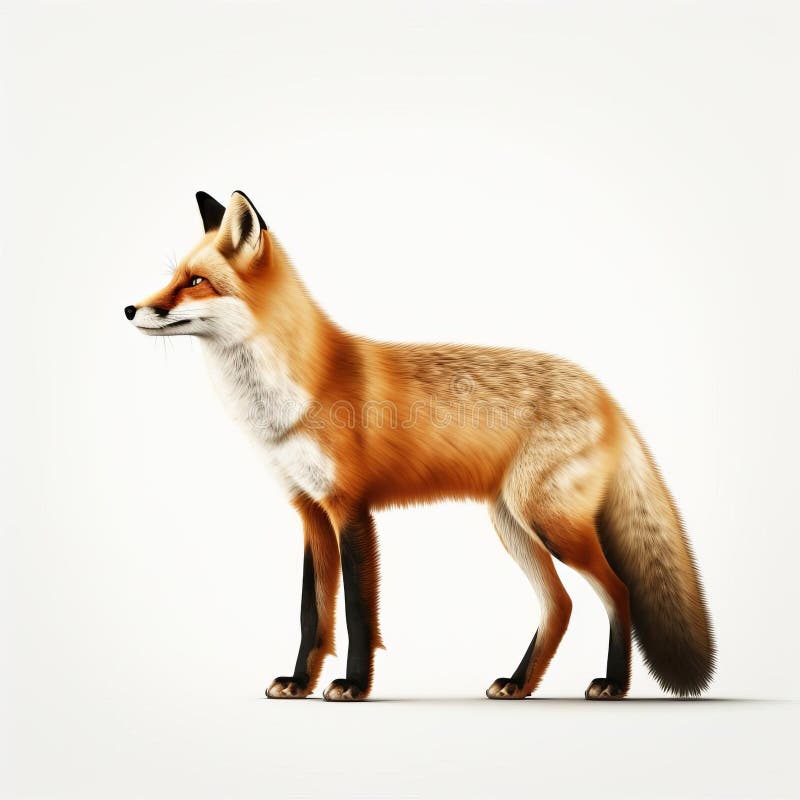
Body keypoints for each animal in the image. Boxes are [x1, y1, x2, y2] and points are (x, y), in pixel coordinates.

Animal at [126, 190, 715, 701]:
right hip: (512, 523)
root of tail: (605, 393)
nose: (130, 310)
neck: (293, 395)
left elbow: (357, 612)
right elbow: (312, 614)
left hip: (548, 522)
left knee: (619, 591)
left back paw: (613, 684)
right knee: (560, 605)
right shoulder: (309, 509)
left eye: (195, 281)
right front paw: (298, 683)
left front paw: (353, 687)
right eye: (172, 277)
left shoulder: (350, 508)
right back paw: (519, 684)